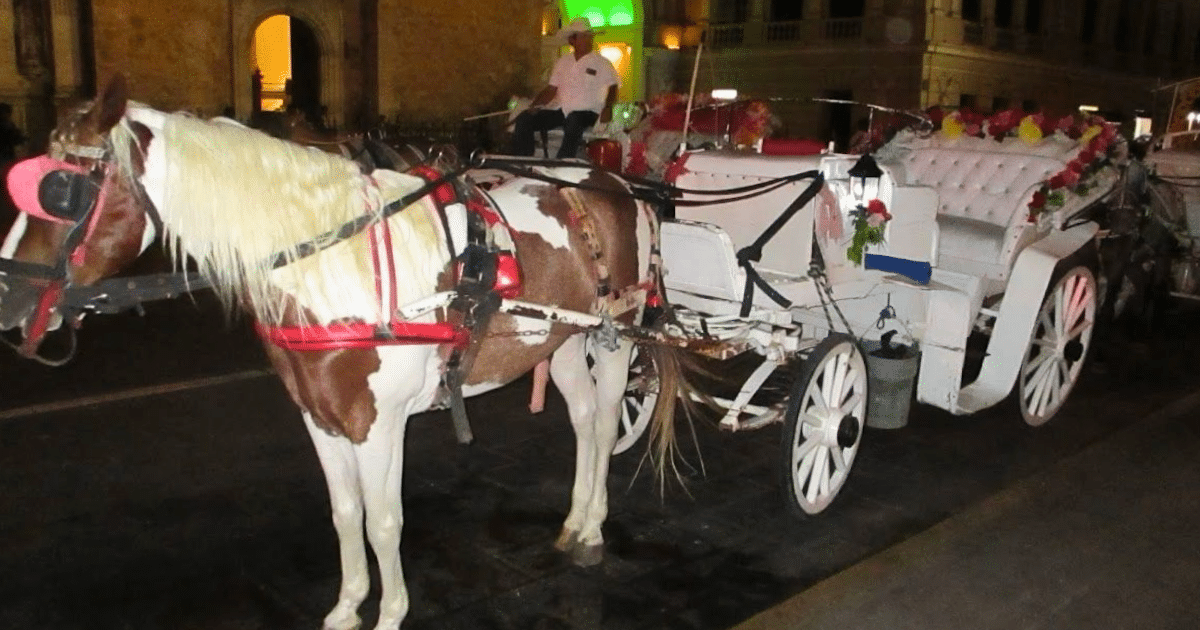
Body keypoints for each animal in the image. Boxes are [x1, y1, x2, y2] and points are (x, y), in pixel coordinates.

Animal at [0, 75, 691, 630]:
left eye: (61, 191)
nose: (7, 300)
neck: (334, 263)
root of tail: (614, 182)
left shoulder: (376, 424)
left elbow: (385, 521)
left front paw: (389, 613)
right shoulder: (320, 416)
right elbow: (344, 512)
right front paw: (348, 605)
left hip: (616, 334)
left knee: (607, 418)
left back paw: (594, 526)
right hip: (561, 337)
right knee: (583, 420)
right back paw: (573, 520)